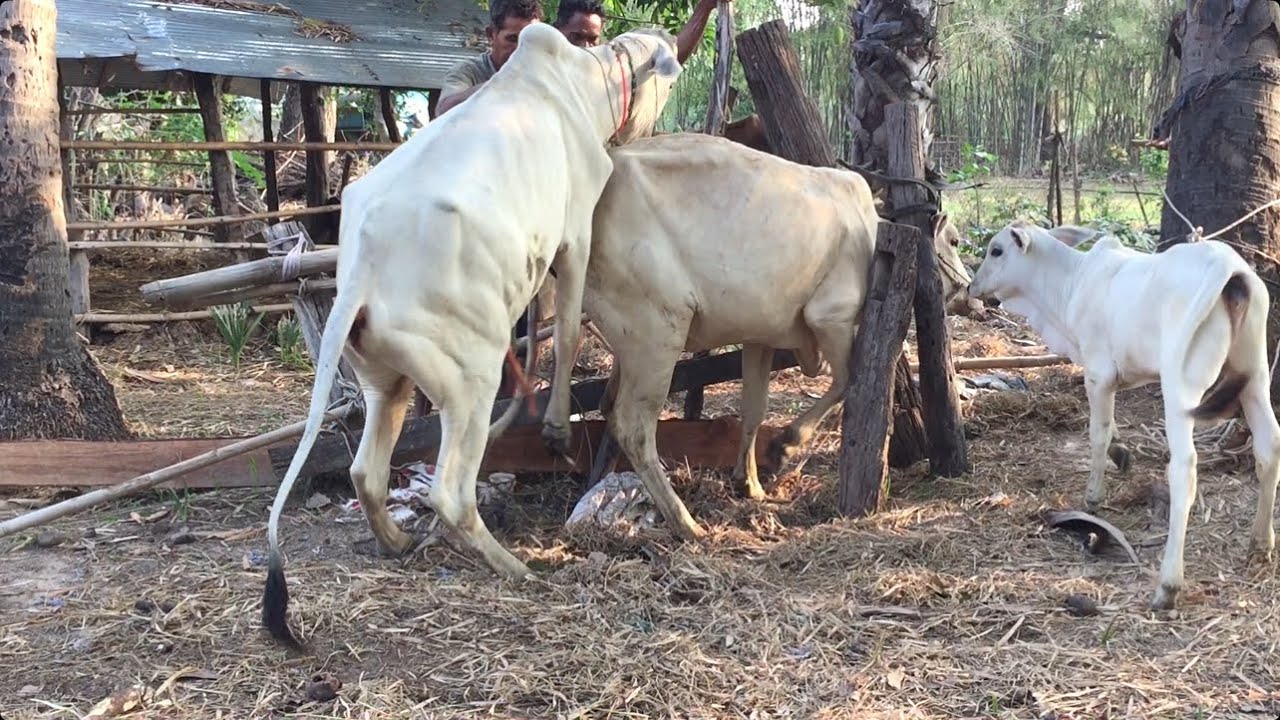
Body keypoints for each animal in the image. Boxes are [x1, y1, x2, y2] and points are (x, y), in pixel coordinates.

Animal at [260, 22, 684, 648]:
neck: (581, 83)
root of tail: (362, 271)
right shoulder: (575, 236)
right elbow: (568, 333)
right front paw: (555, 429)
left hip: (387, 382)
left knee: (367, 472)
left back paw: (399, 541)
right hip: (470, 381)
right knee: (450, 493)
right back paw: (517, 568)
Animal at [575, 132, 971, 538]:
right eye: (955, 242)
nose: (971, 291)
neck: (871, 230)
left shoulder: (759, 337)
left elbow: (754, 407)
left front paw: (748, 481)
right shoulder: (831, 316)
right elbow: (845, 381)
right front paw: (784, 446)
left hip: (634, 344)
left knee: (610, 408)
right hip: (658, 334)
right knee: (633, 426)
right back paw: (685, 522)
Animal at [965, 220, 1280, 610]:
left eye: (996, 250)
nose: (971, 286)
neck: (1071, 283)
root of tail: (1229, 267)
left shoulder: (1098, 374)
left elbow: (1098, 432)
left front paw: (1094, 496)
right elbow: (1111, 427)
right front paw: (1121, 453)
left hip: (1180, 385)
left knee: (1184, 470)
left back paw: (1168, 586)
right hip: (1255, 375)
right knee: (1269, 447)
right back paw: (1261, 544)